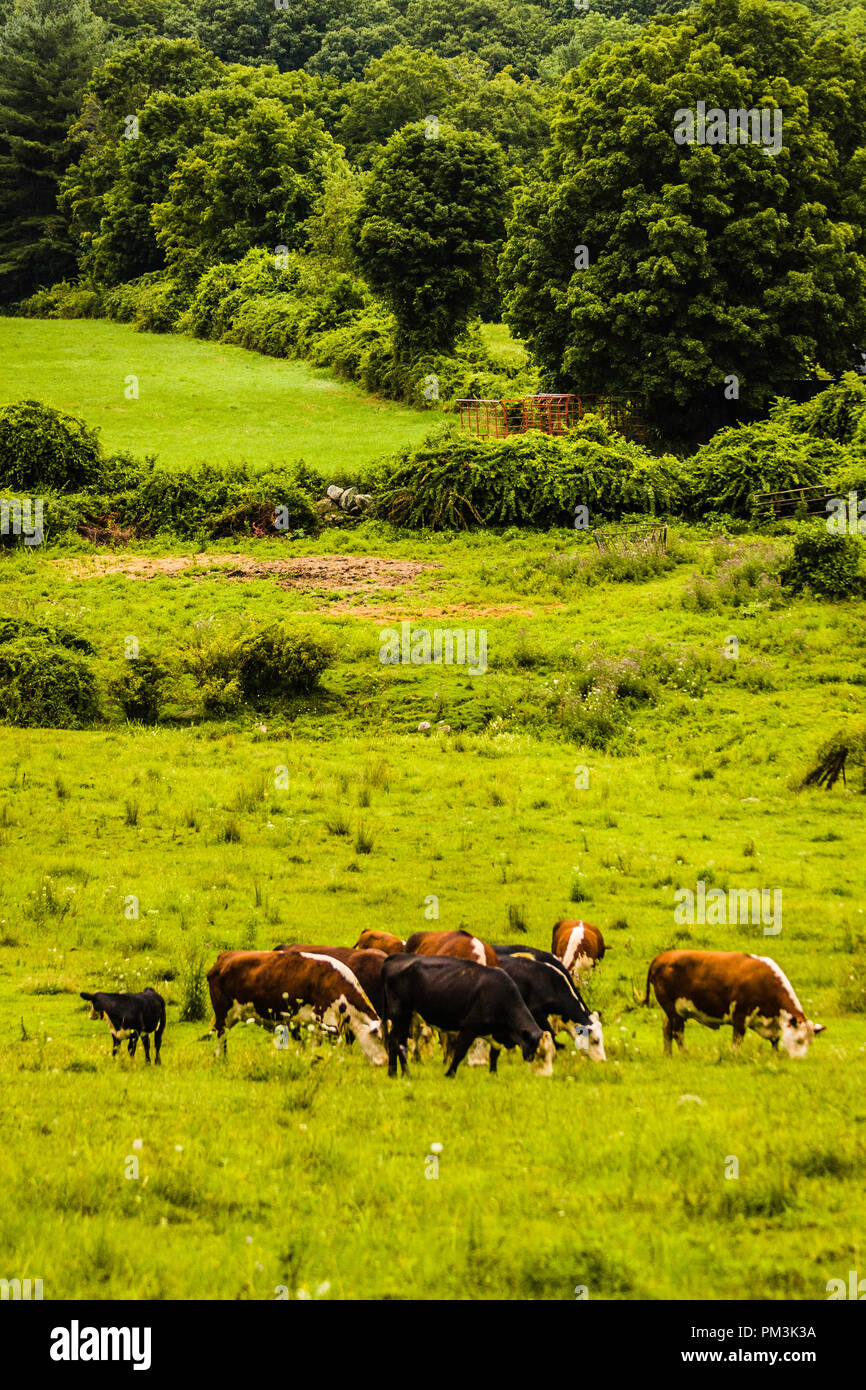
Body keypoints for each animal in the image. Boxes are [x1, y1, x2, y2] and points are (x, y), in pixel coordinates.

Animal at [207, 950, 386, 1064]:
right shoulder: (326, 1020)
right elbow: (337, 1042)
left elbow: (314, 1046)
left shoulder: (317, 1026)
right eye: (378, 1038)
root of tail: (225, 956)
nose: (384, 1062)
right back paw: (220, 1059)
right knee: (220, 1035)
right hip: (223, 1013)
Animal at [381, 955, 556, 1078]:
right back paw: (402, 1073)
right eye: (538, 1053)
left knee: (398, 1042)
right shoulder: (470, 1027)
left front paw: (493, 1074)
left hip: (408, 1018)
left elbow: (494, 1054)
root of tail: (396, 957)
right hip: (400, 1014)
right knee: (395, 1041)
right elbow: (460, 1051)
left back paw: (395, 1073)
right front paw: (449, 1074)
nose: (546, 1075)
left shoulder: (496, 1034)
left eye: (552, 1054)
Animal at [633, 950, 826, 1058]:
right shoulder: (740, 1015)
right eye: (799, 1040)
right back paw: (685, 1054)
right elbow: (737, 1039)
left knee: (667, 1029)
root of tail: (662, 956)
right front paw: (735, 1056)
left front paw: (775, 1055)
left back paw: (668, 1054)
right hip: (674, 1010)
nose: (800, 1060)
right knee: (677, 1032)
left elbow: (775, 1040)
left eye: (810, 1042)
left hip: (670, 1011)